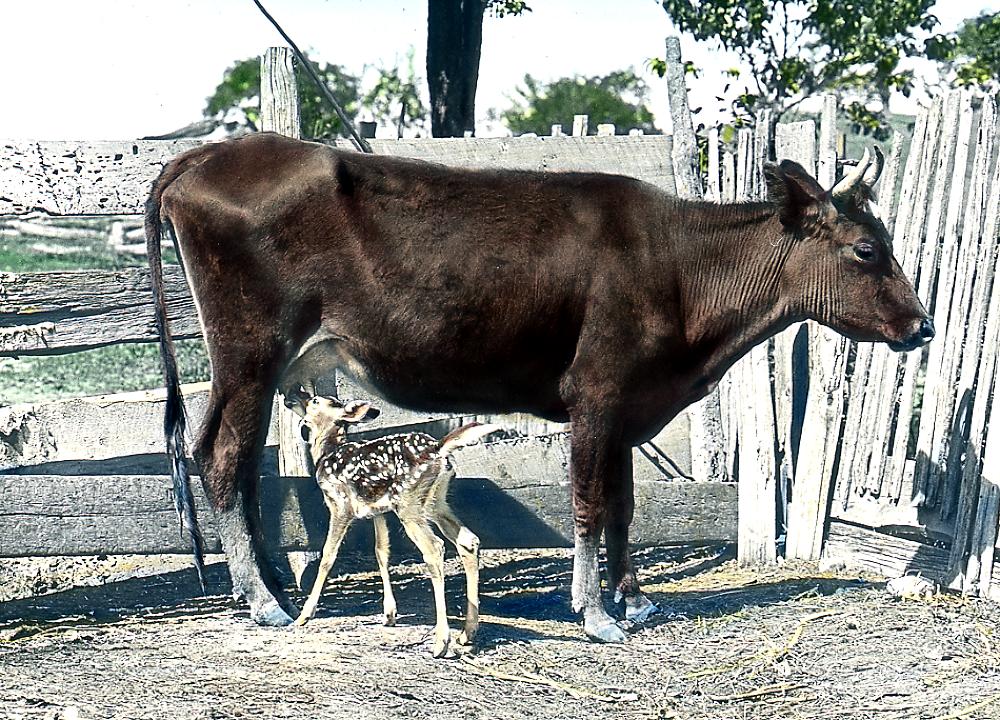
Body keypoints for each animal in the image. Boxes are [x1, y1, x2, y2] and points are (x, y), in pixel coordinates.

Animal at [145, 133, 933, 643]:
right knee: (221, 457)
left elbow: (623, 505)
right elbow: (588, 503)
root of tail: (209, 153)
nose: (923, 325)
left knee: (238, 463)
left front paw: (633, 600)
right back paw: (265, 602)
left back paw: (267, 587)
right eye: (867, 248)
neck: (677, 267)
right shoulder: (597, 392)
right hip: (249, 354)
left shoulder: (625, 407)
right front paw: (595, 613)